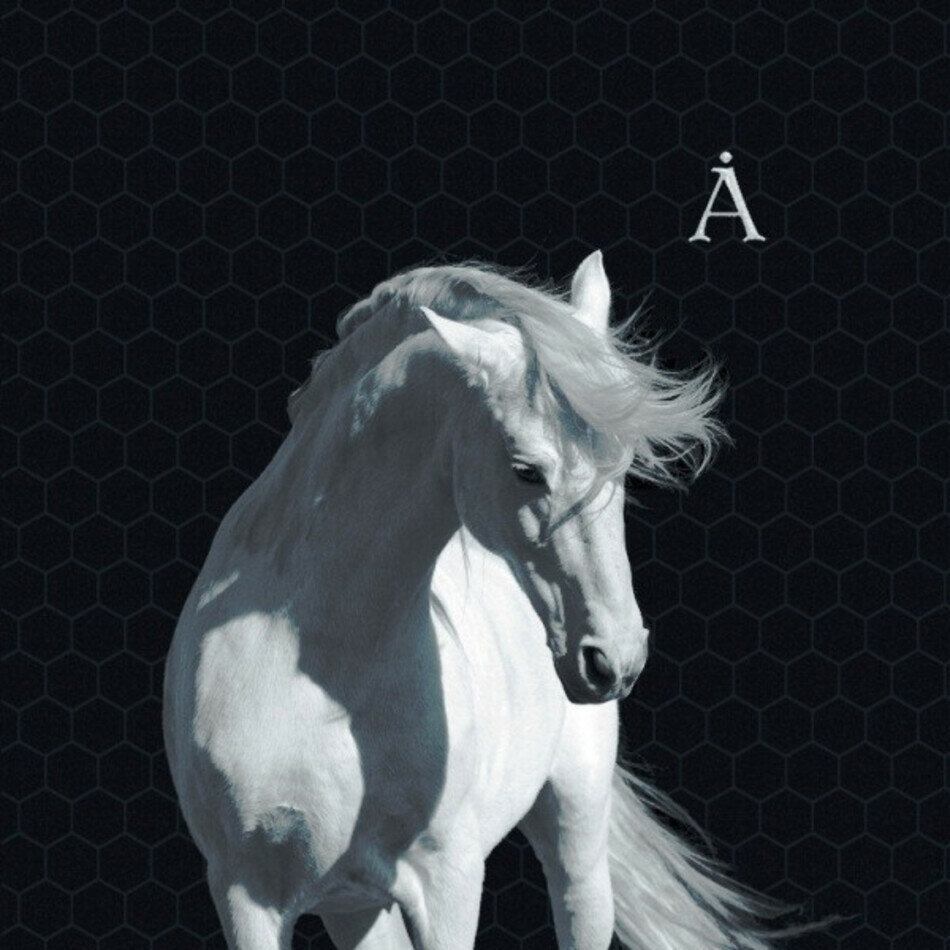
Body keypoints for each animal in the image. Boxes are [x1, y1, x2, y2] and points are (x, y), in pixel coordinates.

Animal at [163, 252, 788, 949]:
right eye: (525, 470)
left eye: (623, 468)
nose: (615, 660)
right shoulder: (247, 896)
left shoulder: (448, 881)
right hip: (357, 908)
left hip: (575, 830)